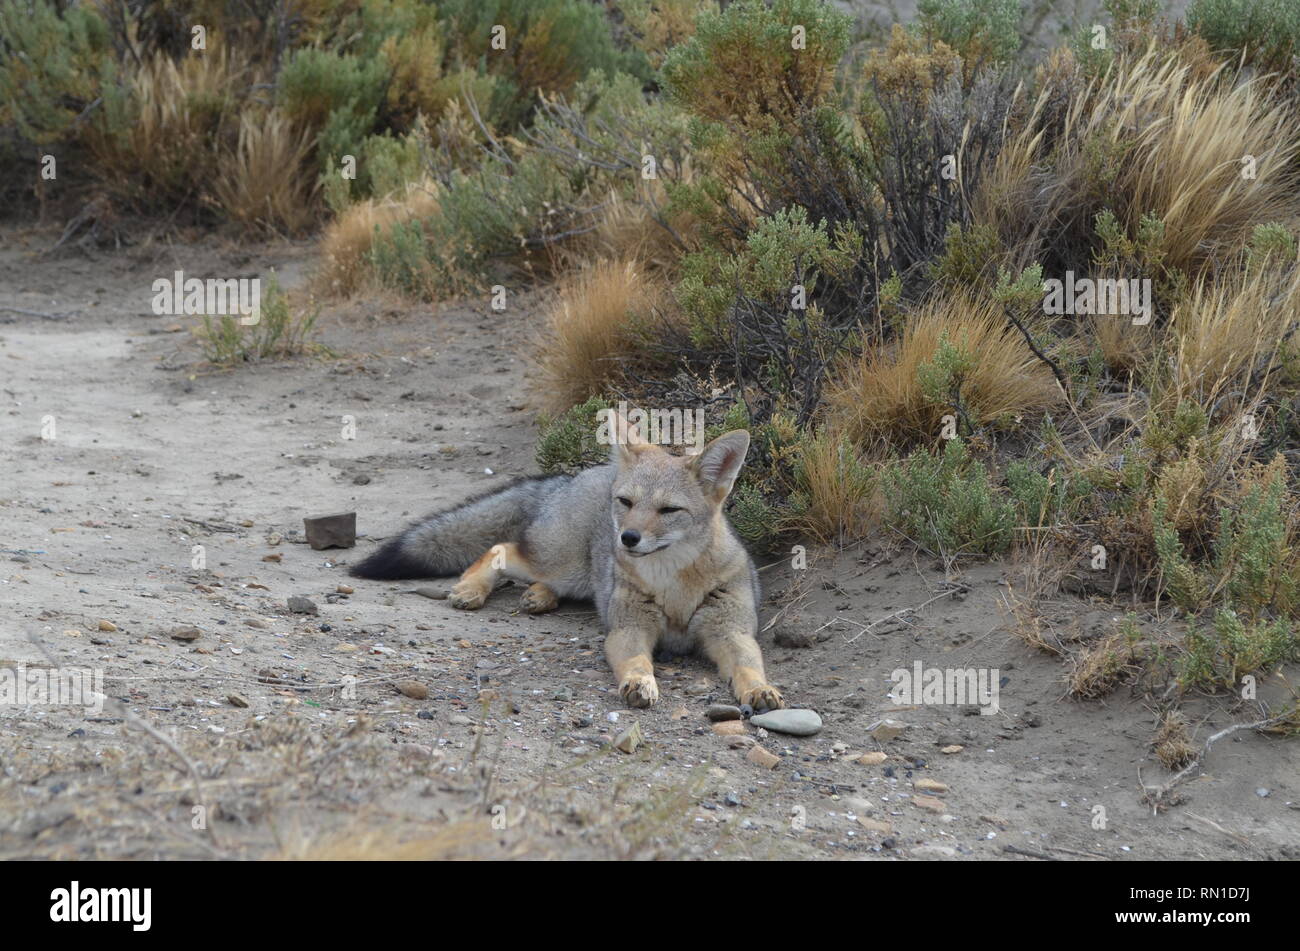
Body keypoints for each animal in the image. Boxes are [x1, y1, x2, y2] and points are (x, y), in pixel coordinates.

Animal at [349, 414, 785, 712]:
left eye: (668, 510)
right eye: (626, 502)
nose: (627, 538)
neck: (674, 587)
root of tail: (575, 475)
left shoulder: (731, 633)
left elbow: (748, 666)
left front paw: (760, 689)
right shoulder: (628, 629)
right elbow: (637, 661)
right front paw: (639, 683)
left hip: (574, 577)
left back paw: (539, 598)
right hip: (562, 566)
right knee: (502, 548)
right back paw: (472, 589)